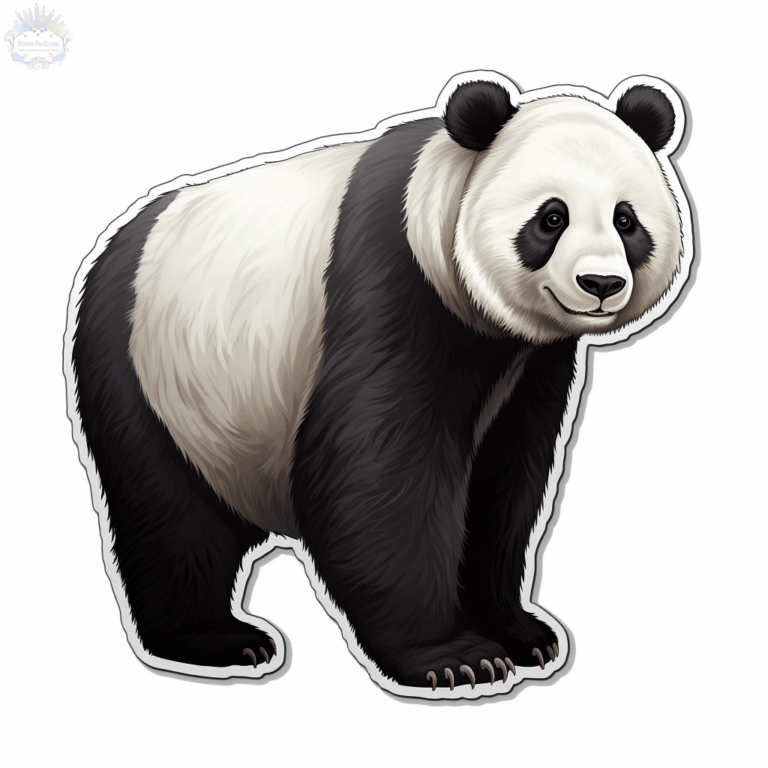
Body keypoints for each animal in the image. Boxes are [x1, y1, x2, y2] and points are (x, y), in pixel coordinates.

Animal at [67, 72, 690, 699]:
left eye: (627, 221)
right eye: (551, 218)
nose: (601, 283)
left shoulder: (531, 367)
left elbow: (505, 478)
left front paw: (520, 631)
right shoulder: (392, 283)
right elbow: (377, 469)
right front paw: (453, 658)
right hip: (152, 378)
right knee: (173, 517)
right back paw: (218, 640)